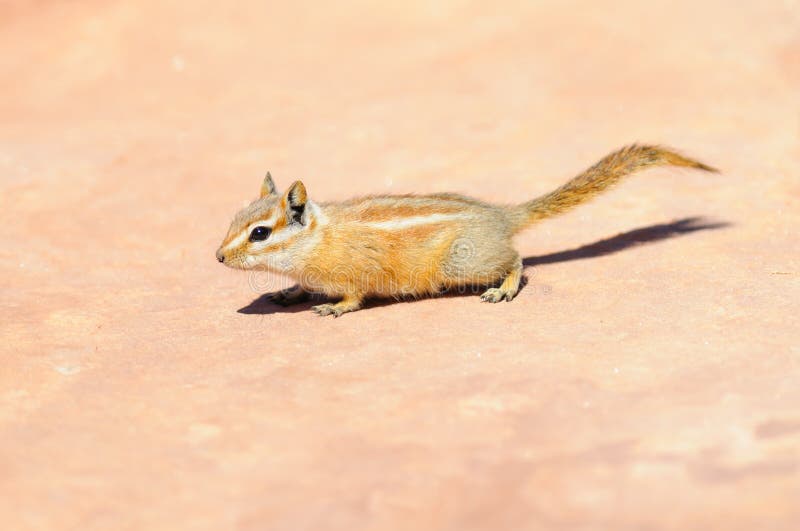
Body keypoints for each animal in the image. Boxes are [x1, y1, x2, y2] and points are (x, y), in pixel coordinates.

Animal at [216, 144, 716, 317]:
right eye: (235, 218)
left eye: (259, 233)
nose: (218, 258)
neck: (317, 237)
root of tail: (501, 215)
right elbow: (300, 286)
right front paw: (288, 293)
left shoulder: (358, 273)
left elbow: (354, 296)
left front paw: (334, 308)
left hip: (462, 264)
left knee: (518, 260)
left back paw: (504, 289)